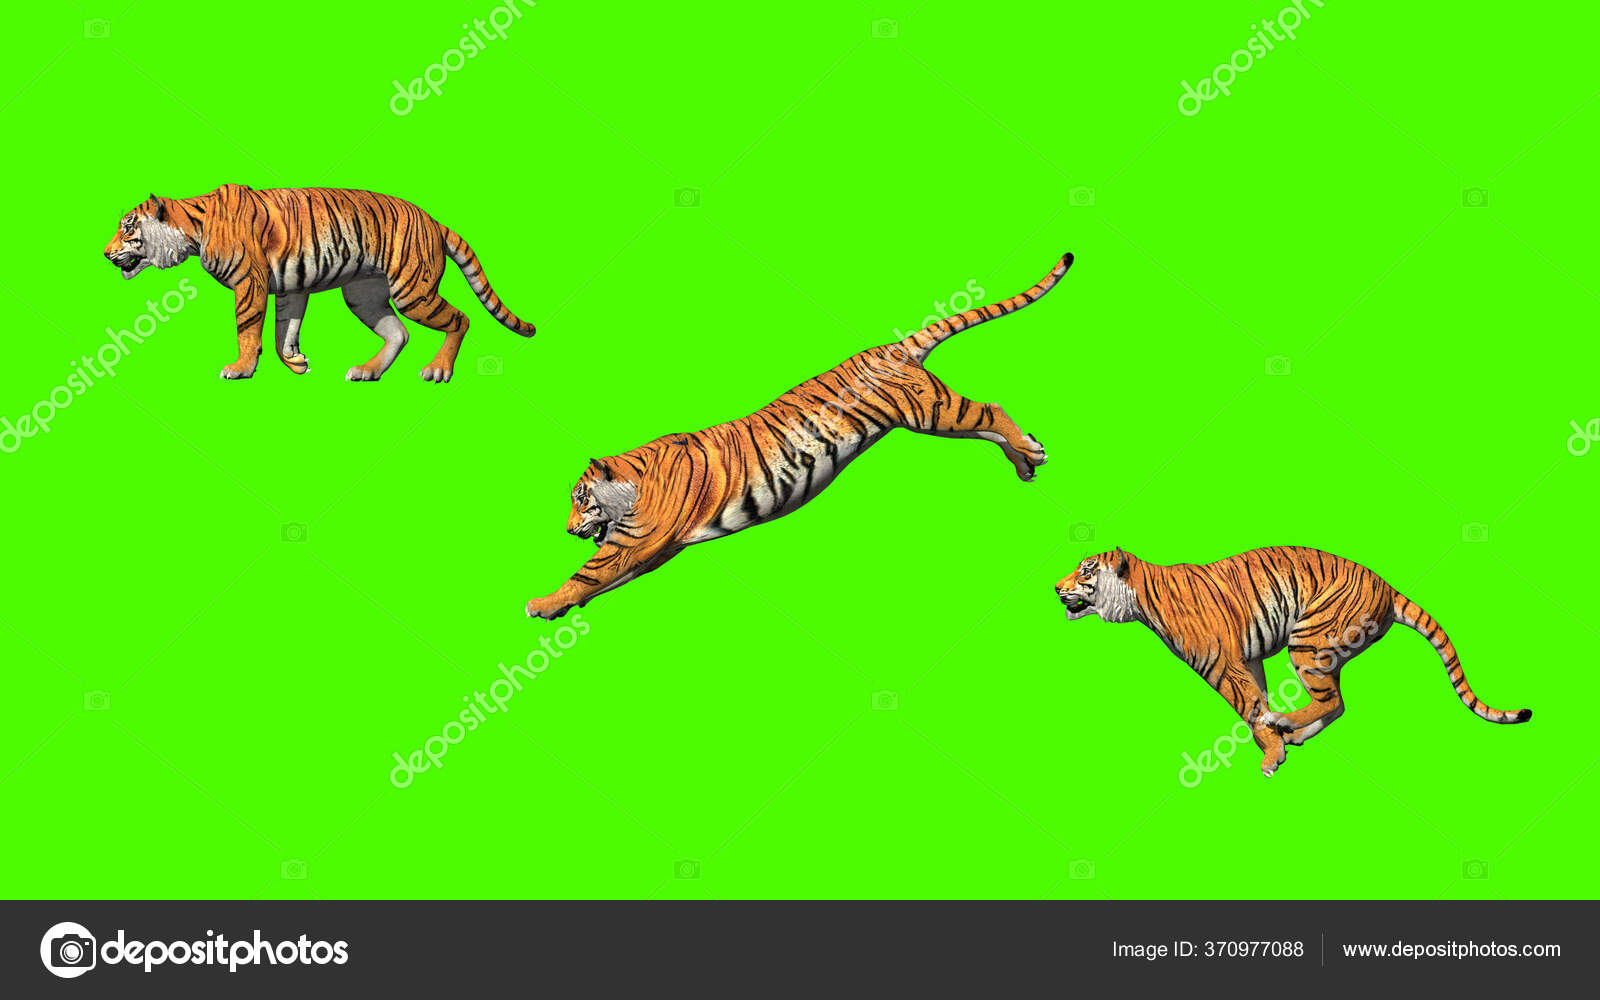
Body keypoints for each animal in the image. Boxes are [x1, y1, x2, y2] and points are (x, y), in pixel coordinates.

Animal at [102, 185, 536, 382]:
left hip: (413, 291)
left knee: (460, 319)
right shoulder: (291, 285)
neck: (191, 229)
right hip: (364, 294)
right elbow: (285, 330)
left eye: (127, 228)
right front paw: (296, 361)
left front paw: (241, 368)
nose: (105, 254)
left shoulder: (249, 282)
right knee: (398, 333)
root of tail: (432, 219)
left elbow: (247, 329)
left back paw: (438, 370)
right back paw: (367, 371)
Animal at [523, 252, 1074, 620]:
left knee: (991, 410)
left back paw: (1028, 450)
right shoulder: (656, 547)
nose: (567, 529)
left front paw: (541, 602)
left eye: (580, 499)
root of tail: (893, 346)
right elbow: (601, 582)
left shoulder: (636, 540)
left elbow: (589, 572)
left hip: (933, 411)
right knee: (988, 425)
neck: (634, 483)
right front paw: (559, 608)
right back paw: (1027, 461)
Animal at [1053, 546, 1532, 776]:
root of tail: (1387, 584)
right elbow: (1256, 702)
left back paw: (1286, 722)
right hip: (1324, 650)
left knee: (1328, 699)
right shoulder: (1247, 660)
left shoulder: (1222, 666)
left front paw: (1271, 753)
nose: (1056, 588)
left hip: (1307, 640)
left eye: (1085, 571)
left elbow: (1251, 711)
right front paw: (1277, 747)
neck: (1138, 600)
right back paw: (1296, 731)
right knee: (1338, 702)